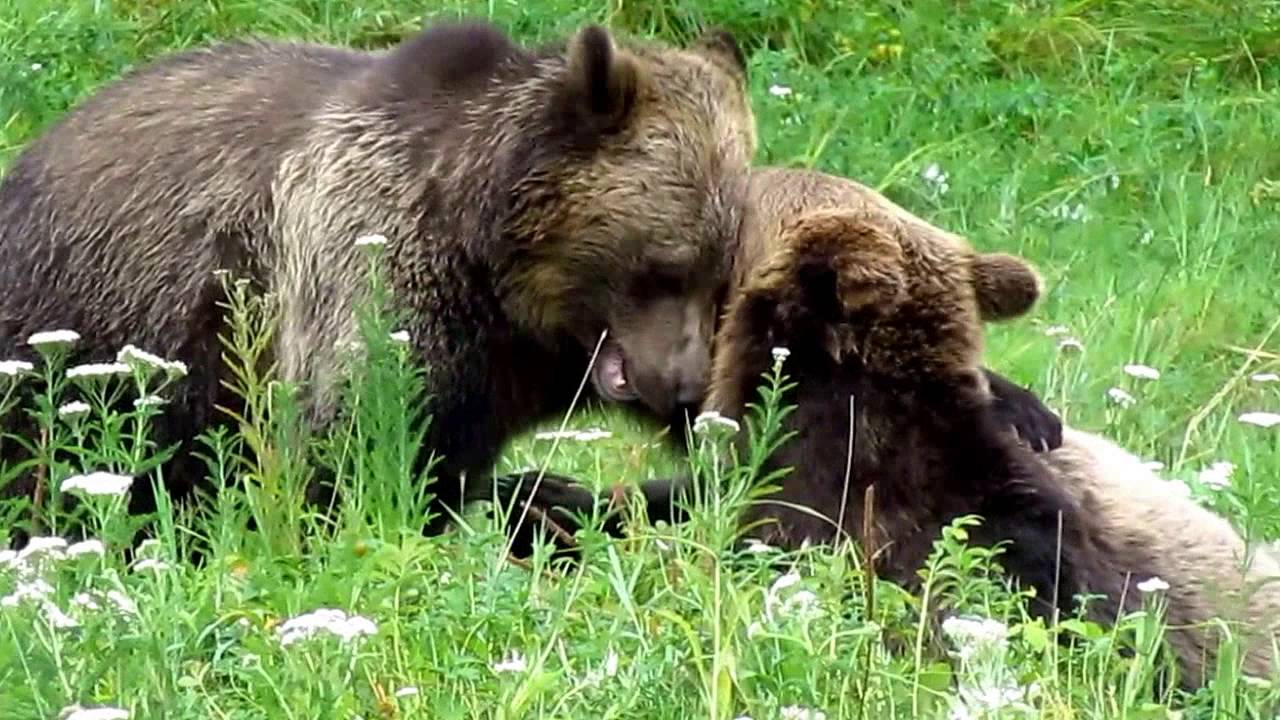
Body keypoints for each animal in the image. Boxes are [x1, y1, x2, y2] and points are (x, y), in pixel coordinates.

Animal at [0, 19, 757, 545]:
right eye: (663, 264)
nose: (685, 388)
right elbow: (358, 448)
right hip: (88, 323)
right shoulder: (373, 267)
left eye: (719, 273)